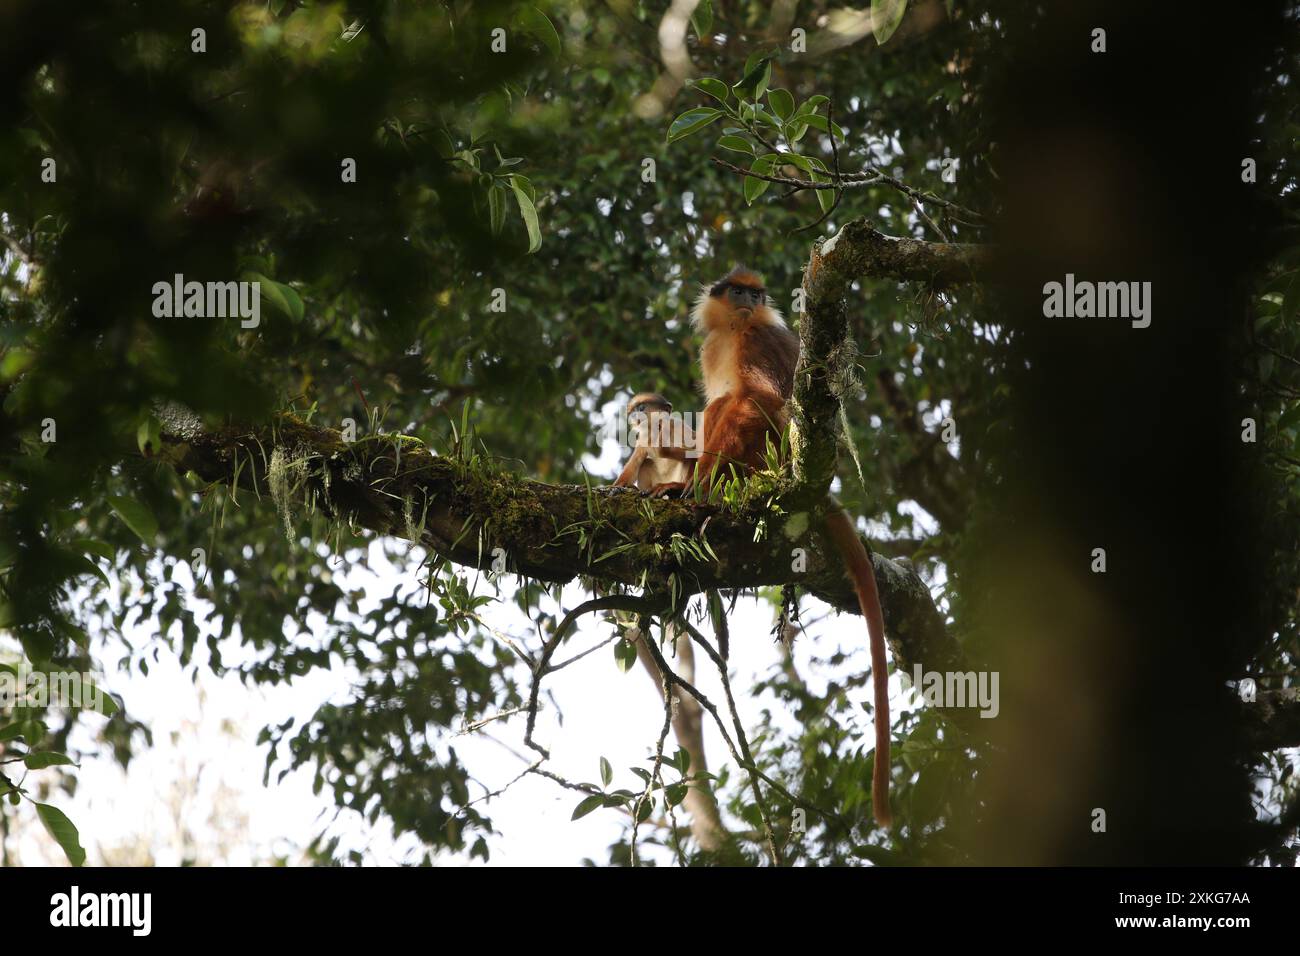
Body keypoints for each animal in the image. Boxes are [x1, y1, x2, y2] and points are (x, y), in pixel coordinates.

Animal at [657, 266, 894, 827]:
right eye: (738, 290)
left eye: (757, 293)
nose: (751, 299)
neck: (734, 328)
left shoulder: (756, 339)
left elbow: (758, 398)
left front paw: (696, 492)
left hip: (767, 458)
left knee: (737, 405)